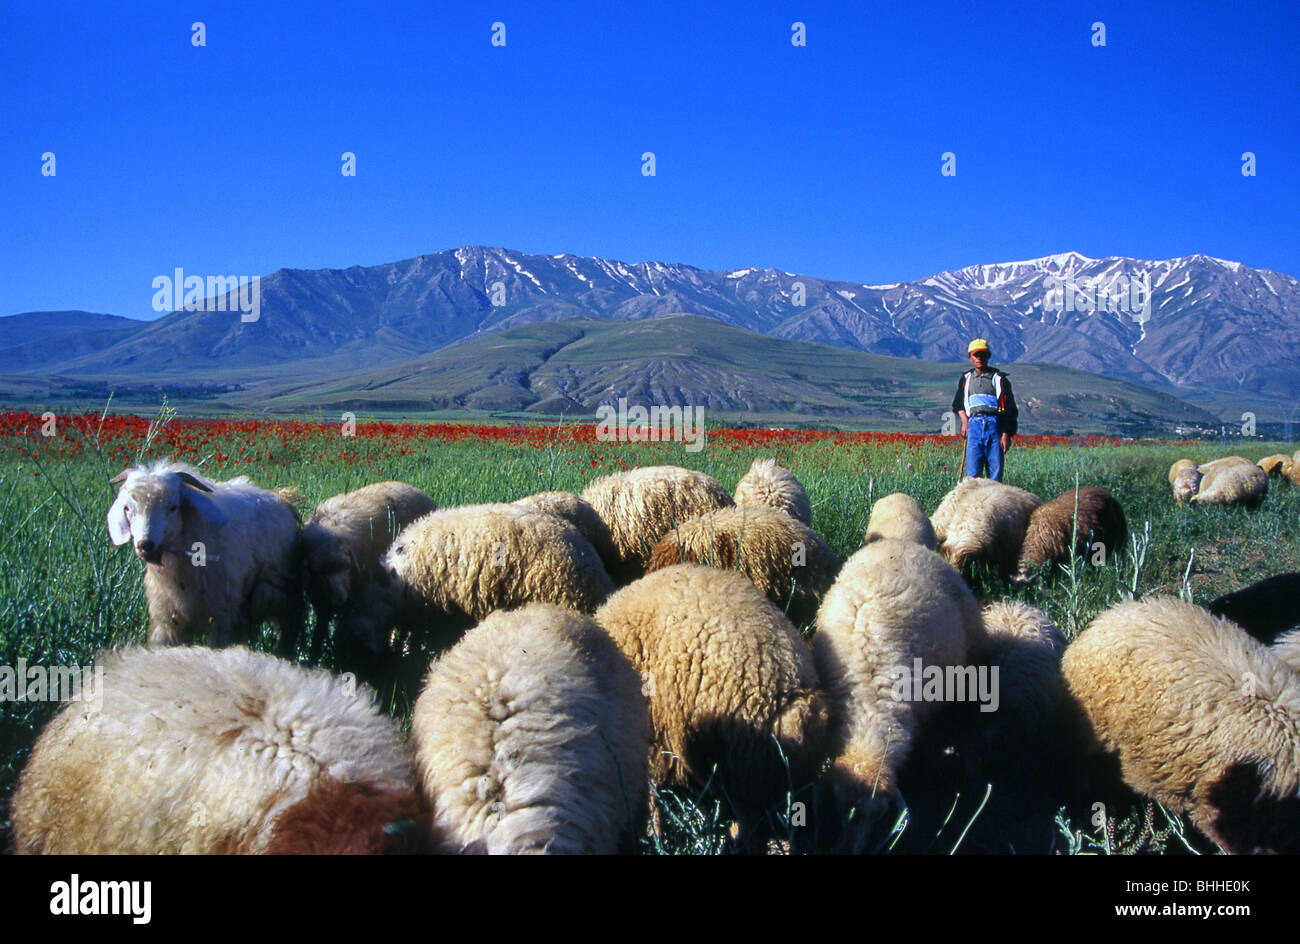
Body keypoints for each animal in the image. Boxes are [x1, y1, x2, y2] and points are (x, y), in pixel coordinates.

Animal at [106, 460, 305, 656]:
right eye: (127, 508)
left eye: (173, 507)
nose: (145, 545)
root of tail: (281, 497)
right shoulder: (167, 622)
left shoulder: (222, 619)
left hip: (278, 592)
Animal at [302, 481, 436, 667]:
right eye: (321, 573)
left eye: (346, 567)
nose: (341, 598)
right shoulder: (322, 606)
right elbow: (319, 633)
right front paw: (313, 659)